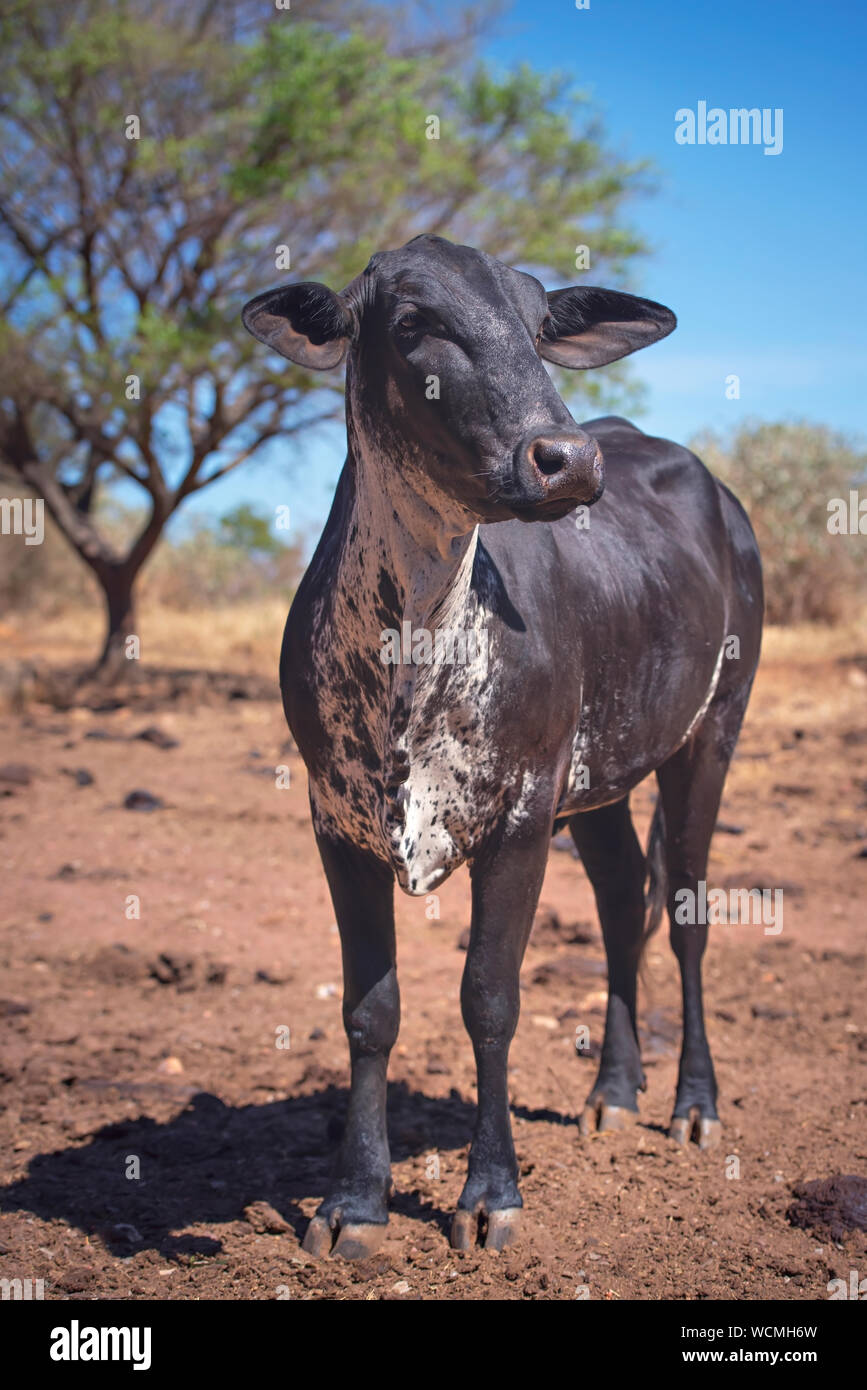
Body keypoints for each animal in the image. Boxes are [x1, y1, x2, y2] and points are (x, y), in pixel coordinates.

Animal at [242, 234, 763, 1258]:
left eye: (536, 325)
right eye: (412, 322)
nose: (565, 458)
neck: (412, 643)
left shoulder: (519, 817)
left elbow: (489, 998)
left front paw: (490, 1195)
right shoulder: (335, 822)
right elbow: (370, 1010)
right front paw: (353, 1202)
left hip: (710, 736)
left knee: (684, 910)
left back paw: (693, 1103)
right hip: (598, 781)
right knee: (623, 902)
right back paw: (613, 1091)